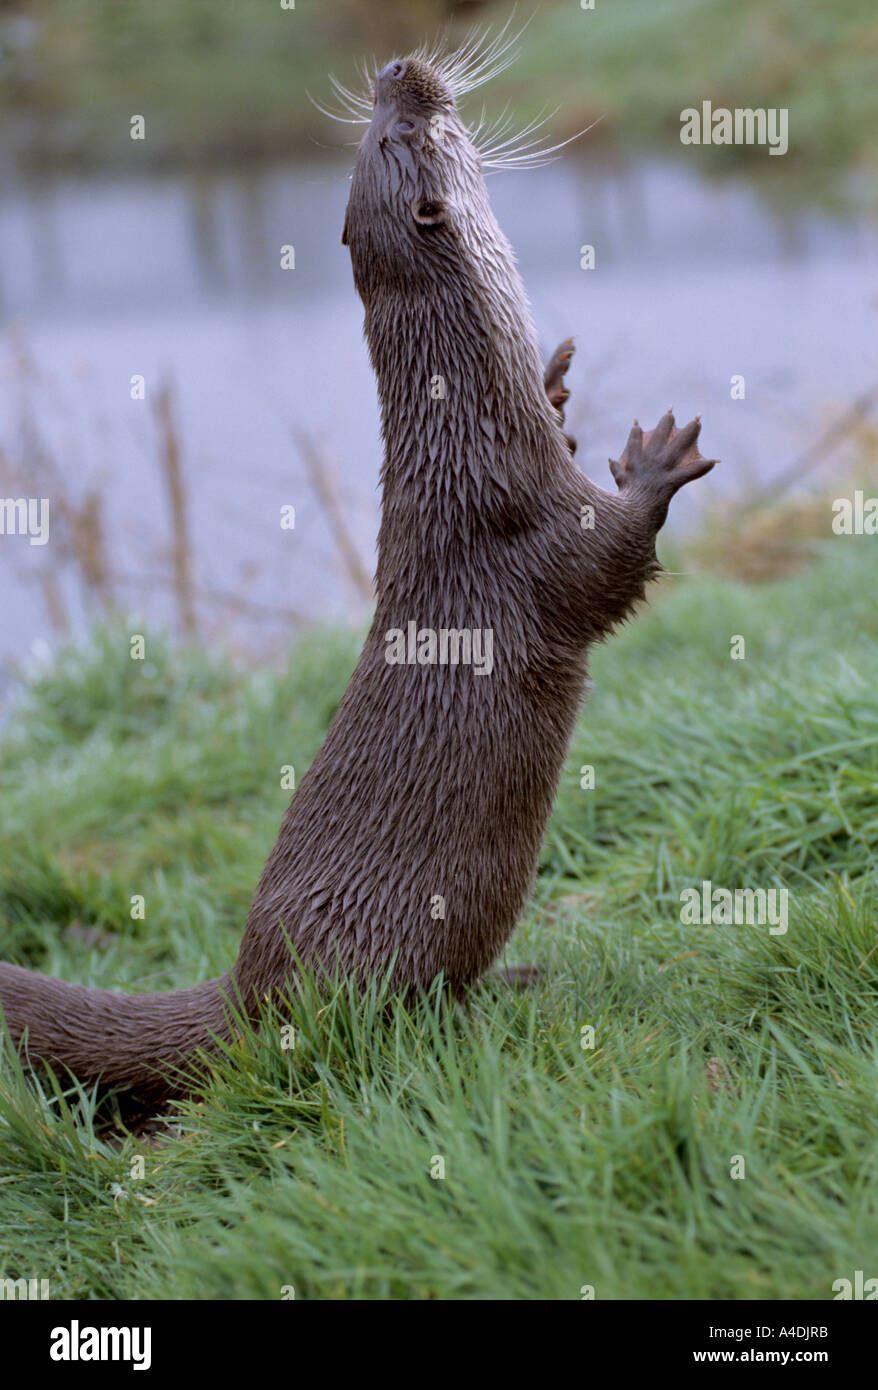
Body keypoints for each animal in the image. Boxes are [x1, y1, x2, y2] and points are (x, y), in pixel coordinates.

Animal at [0, 46, 715, 1115]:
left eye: (378, 125)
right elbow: (609, 569)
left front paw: (558, 386)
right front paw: (655, 464)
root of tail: (241, 989)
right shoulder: (526, 533)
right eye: (406, 131)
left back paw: (514, 978)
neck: (473, 443)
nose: (400, 66)